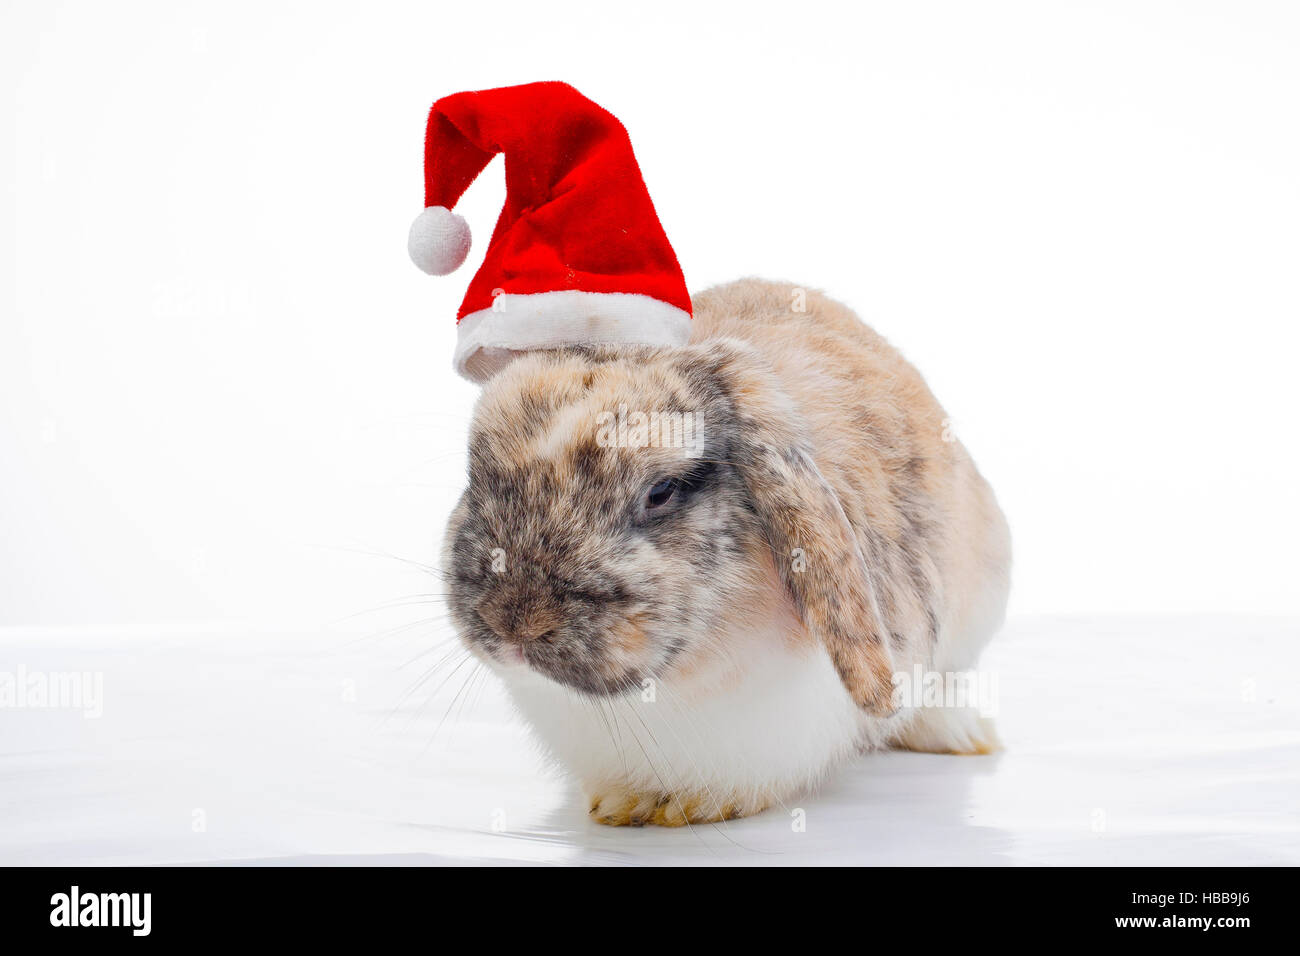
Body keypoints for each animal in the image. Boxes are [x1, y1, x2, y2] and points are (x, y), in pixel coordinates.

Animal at [441, 278, 1011, 826]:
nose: (513, 623)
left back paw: (962, 735)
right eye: (476, 474)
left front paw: (691, 808)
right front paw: (621, 805)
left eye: (661, 491)